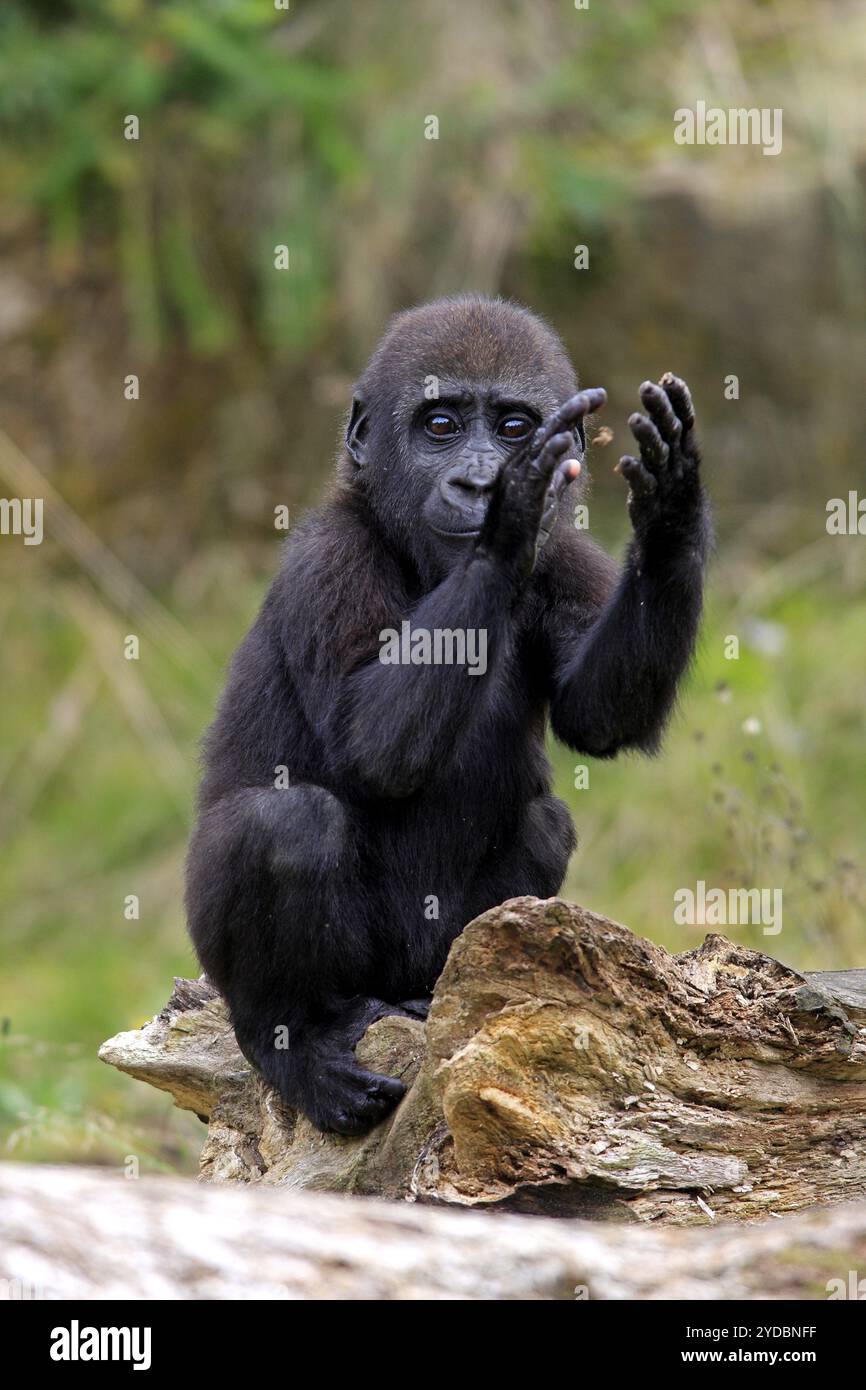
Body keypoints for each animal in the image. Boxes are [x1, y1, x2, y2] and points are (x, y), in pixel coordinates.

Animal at [186, 295, 711, 1135]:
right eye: (440, 425)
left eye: (512, 425)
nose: (476, 478)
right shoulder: (327, 557)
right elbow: (370, 746)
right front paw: (507, 515)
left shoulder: (566, 555)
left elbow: (600, 715)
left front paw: (672, 510)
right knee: (286, 824)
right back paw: (293, 1041)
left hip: (423, 966)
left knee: (544, 824)